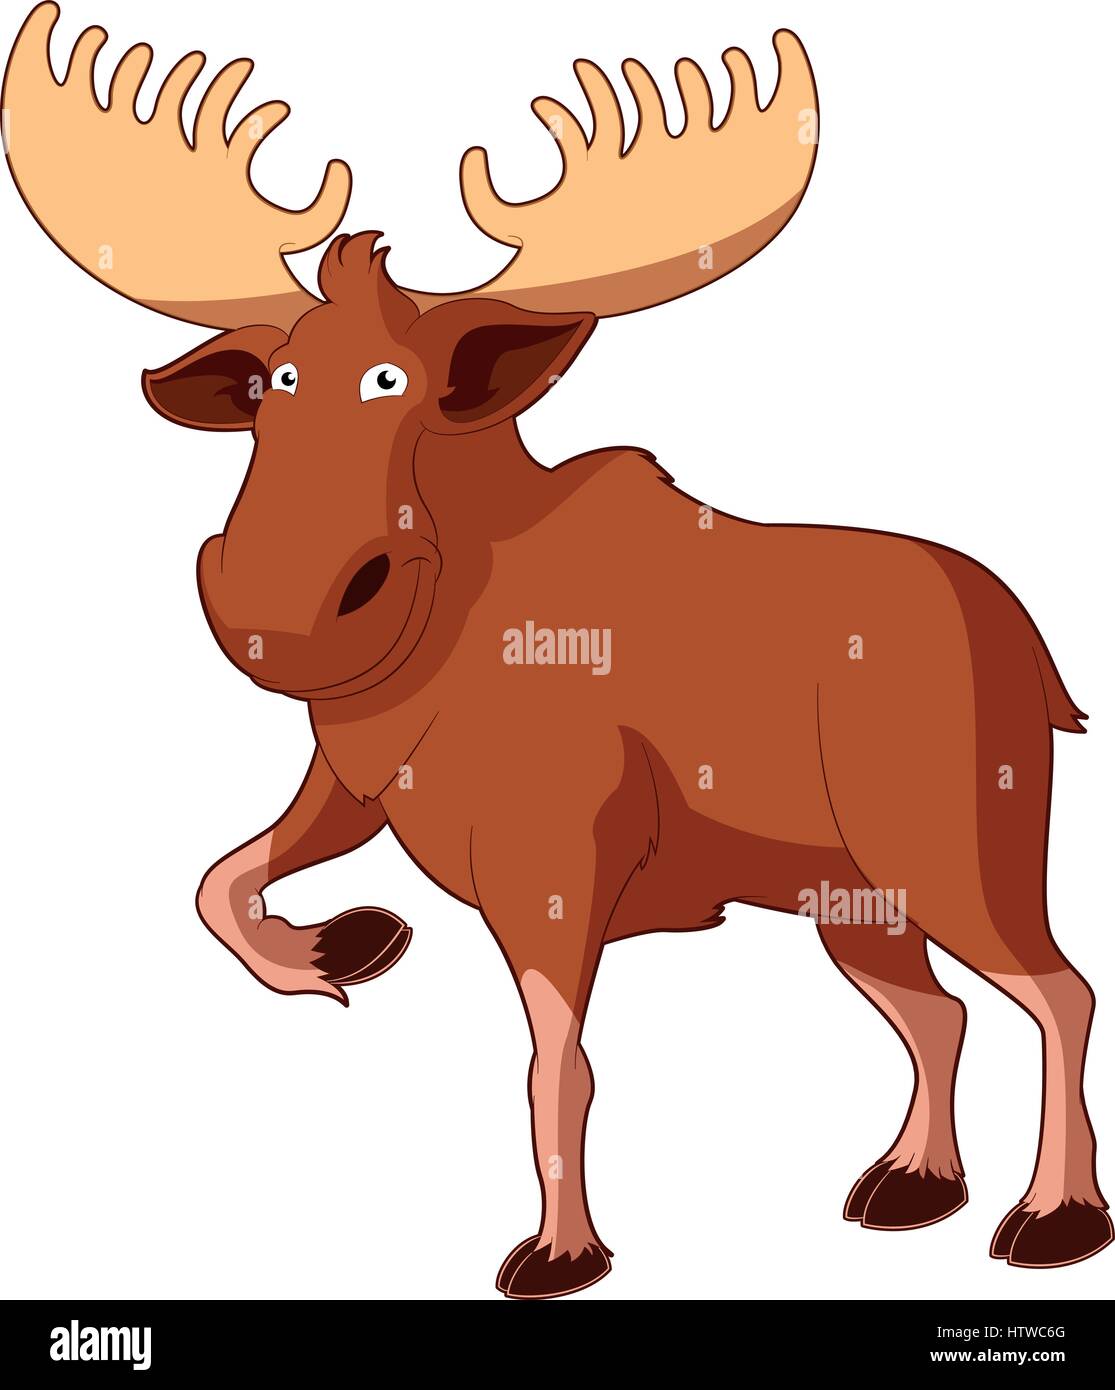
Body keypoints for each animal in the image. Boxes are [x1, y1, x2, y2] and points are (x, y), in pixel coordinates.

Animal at [4, 2, 1110, 1298]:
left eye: (395, 379)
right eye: (275, 381)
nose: (279, 610)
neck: (428, 657)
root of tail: (1030, 647)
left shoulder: (551, 865)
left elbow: (556, 1069)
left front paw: (562, 1246)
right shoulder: (352, 786)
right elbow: (219, 882)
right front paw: (344, 942)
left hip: (950, 849)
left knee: (1056, 989)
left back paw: (1053, 1213)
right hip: (848, 894)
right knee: (938, 1012)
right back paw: (914, 1181)